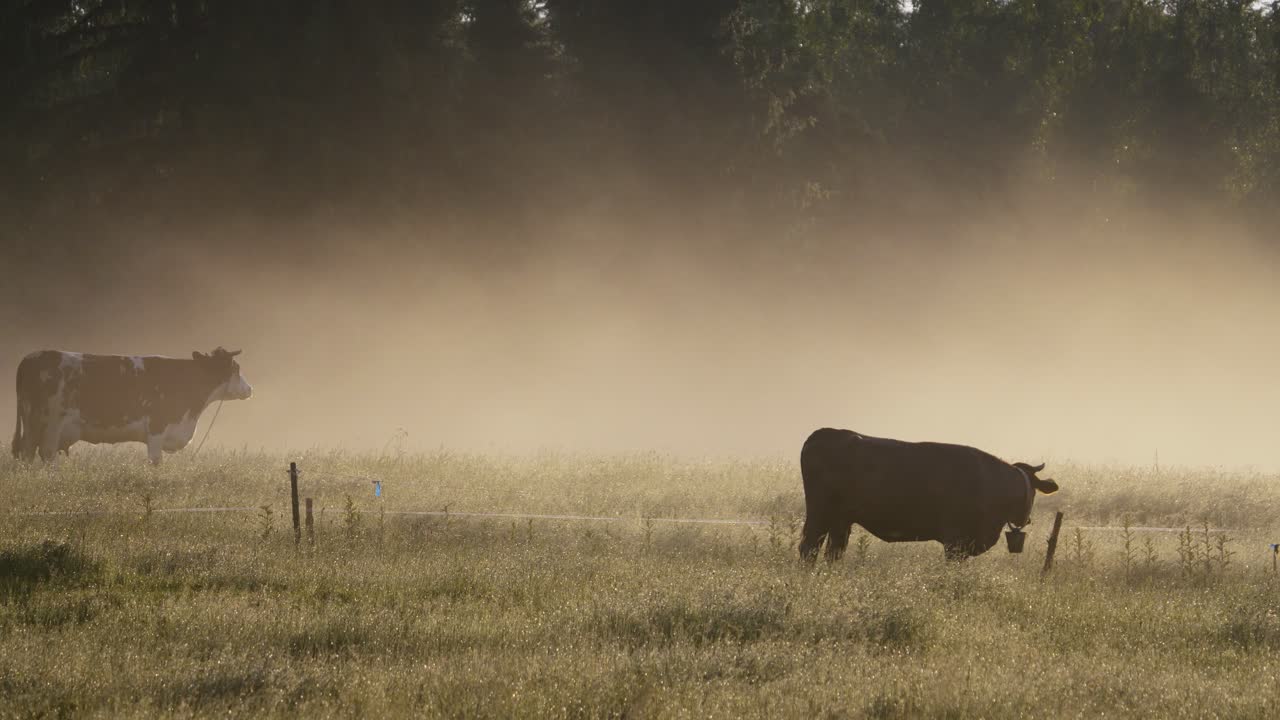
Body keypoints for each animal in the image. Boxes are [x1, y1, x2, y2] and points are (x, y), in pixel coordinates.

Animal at [12, 347, 252, 465]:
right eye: (236, 368)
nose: (249, 389)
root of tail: (30, 358)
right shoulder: (156, 428)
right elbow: (155, 462)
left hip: (33, 423)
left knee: (28, 452)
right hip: (50, 422)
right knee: (46, 453)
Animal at [799, 428, 1059, 563]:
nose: (1025, 519)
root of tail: (826, 433)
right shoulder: (955, 541)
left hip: (841, 520)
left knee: (833, 551)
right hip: (820, 513)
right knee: (808, 548)